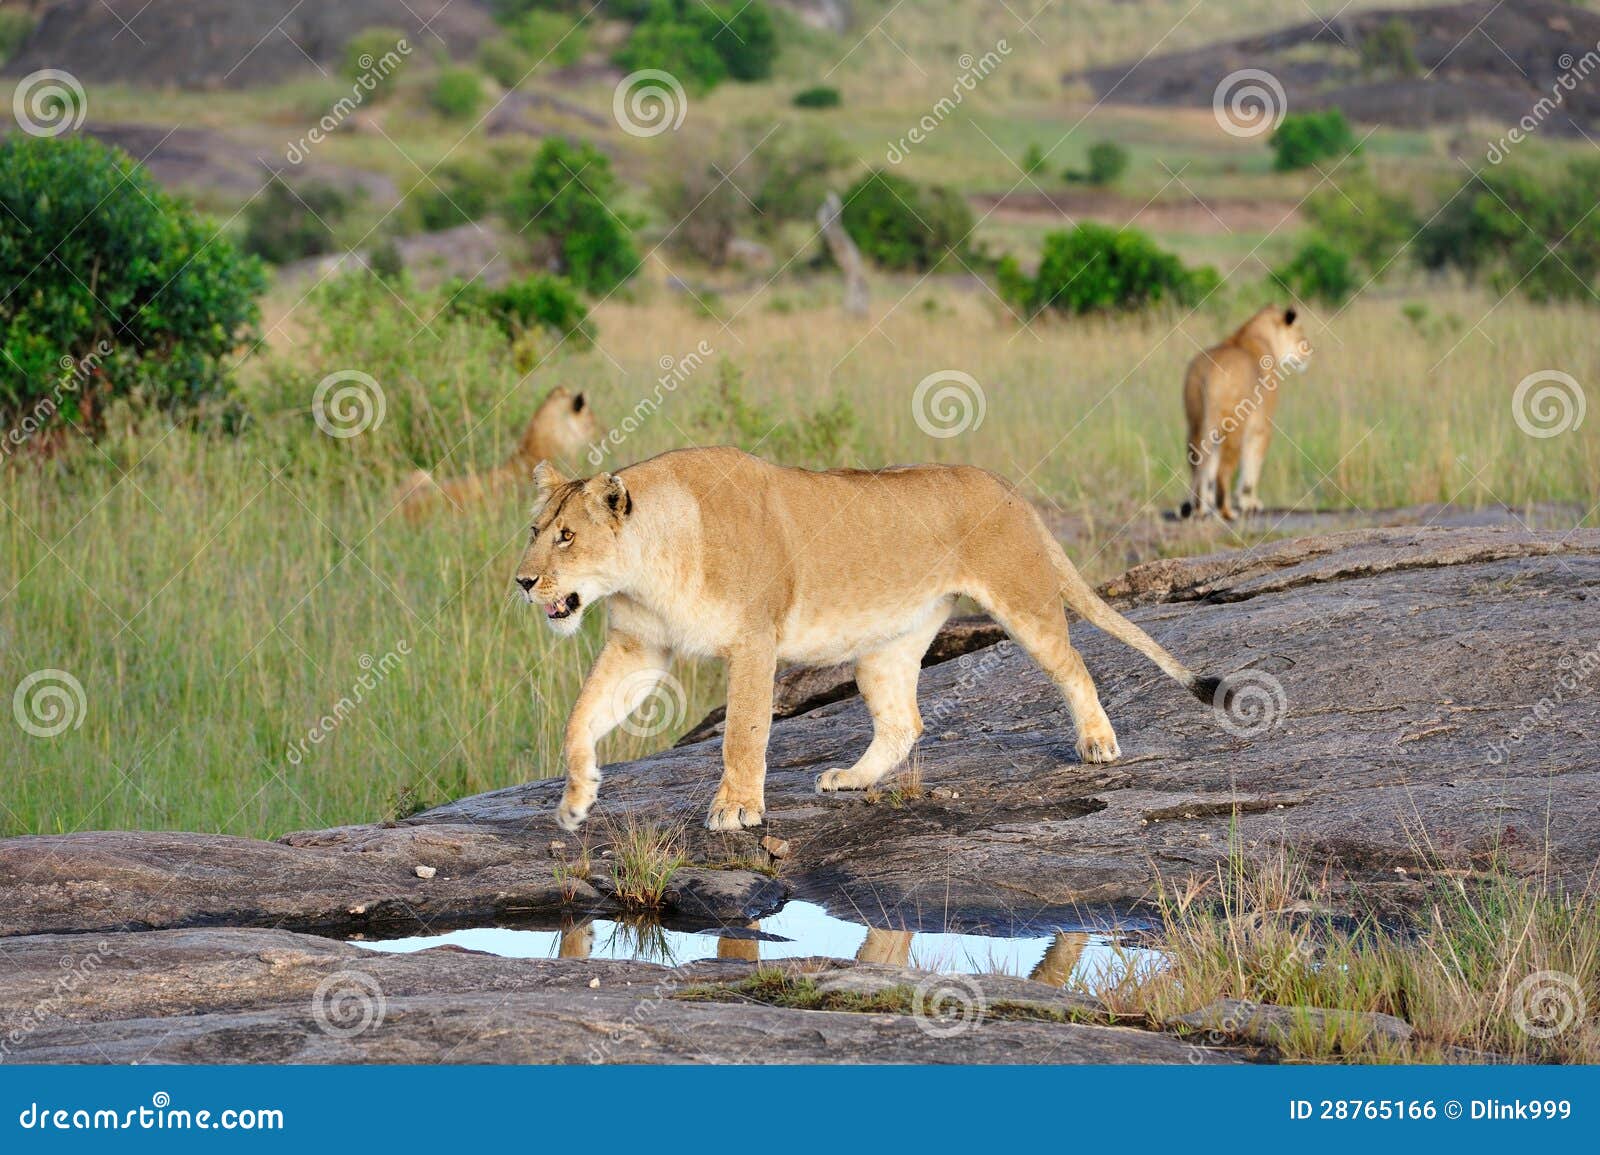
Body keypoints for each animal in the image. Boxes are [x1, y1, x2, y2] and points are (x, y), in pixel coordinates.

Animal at [514, 447, 1227, 833]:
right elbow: (581, 719)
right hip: (886, 647)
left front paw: (736, 810)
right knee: (903, 722)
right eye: (534, 530)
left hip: (1022, 600)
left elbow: (743, 731)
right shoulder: (640, 647)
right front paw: (575, 803)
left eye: (568, 537)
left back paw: (1098, 743)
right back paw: (853, 779)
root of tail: (1005, 485)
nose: (522, 581)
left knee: (1073, 661)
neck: (647, 568)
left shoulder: (753, 640)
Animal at [1180, 306, 1311, 520]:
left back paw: (1200, 509)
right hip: (1234, 426)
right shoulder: (1261, 427)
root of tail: (1211, 369)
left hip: (1196, 422)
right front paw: (1250, 503)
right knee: (1223, 470)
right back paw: (1227, 512)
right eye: (1300, 333)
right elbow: (1252, 466)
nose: (1308, 350)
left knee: (1198, 463)